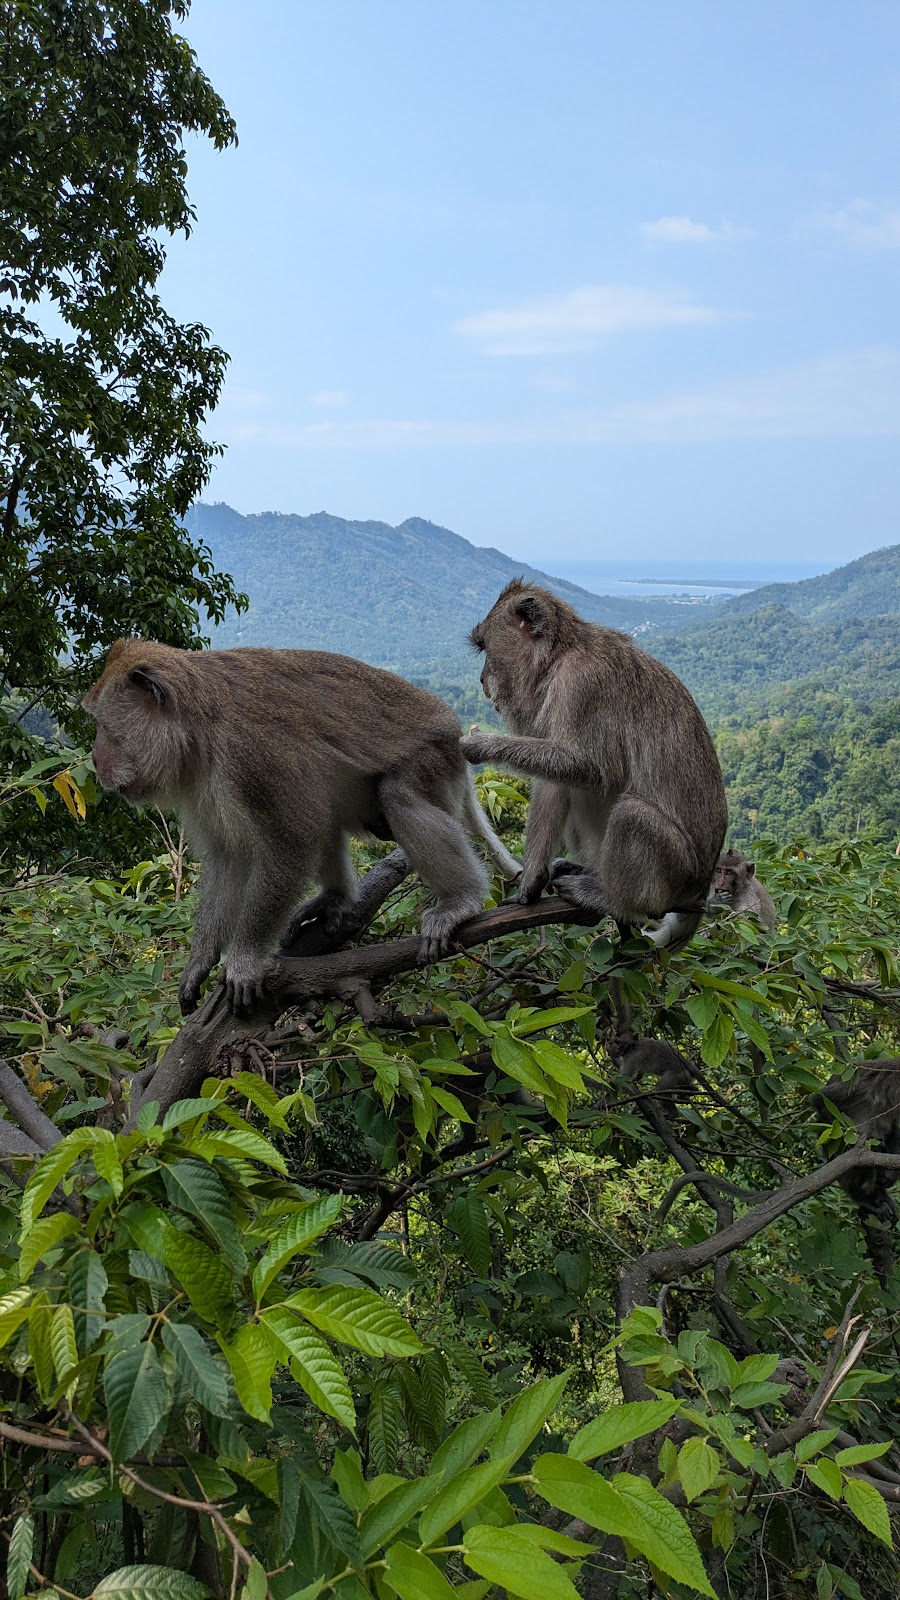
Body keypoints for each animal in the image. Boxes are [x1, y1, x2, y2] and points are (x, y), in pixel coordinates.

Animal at [82, 639, 521, 1015]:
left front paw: (245, 959)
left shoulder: (254, 756)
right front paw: (201, 958)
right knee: (323, 812)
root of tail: (455, 732)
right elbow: (228, 858)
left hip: (433, 760)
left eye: (103, 724)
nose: (95, 758)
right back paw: (335, 899)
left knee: (397, 796)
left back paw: (461, 899)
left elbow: (291, 844)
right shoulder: (197, 782)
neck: (197, 728)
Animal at [460, 581, 727, 952]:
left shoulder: (581, 684)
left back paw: (612, 900)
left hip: (678, 875)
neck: (560, 655)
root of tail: (701, 889)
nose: (482, 680)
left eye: (485, 647)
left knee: (632, 815)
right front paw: (531, 884)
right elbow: (557, 781)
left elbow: (588, 767)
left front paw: (480, 743)